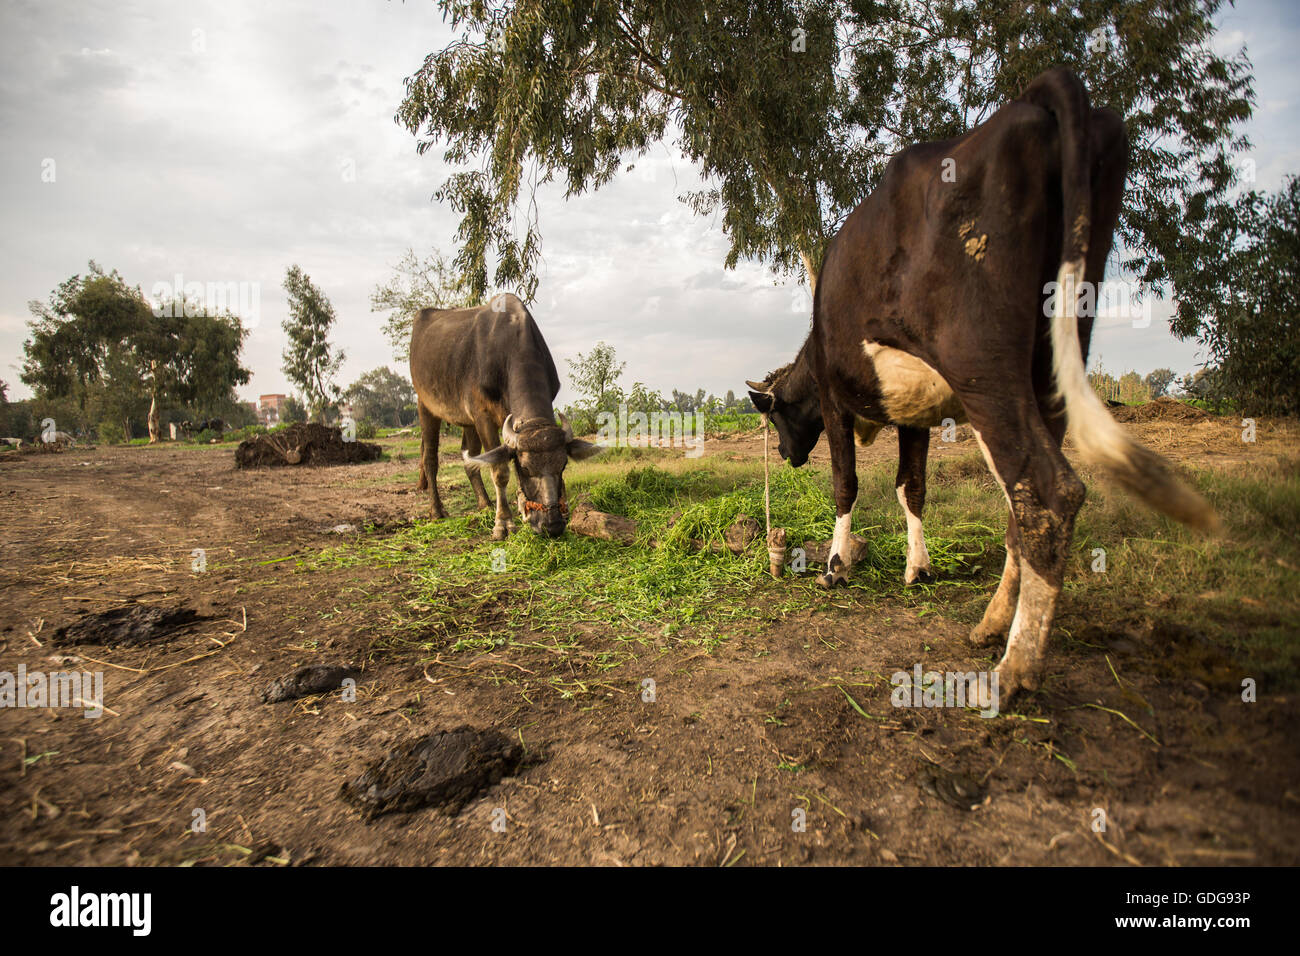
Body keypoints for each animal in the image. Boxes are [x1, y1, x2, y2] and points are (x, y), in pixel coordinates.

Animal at [409, 294, 601, 540]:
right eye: (526, 468)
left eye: (563, 465)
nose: (553, 526)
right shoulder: (483, 417)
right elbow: (499, 470)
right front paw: (503, 523)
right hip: (425, 405)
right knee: (430, 458)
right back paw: (437, 511)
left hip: (467, 422)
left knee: (469, 458)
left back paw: (484, 503)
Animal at [747, 67, 1217, 698]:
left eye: (775, 415)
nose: (784, 454)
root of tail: (1036, 95)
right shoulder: (913, 415)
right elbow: (911, 486)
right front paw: (918, 568)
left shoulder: (837, 400)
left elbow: (846, 484)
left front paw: (835, 567)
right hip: (1052, 360)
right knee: (1023, 502)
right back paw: (992, 625)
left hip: (982, 363)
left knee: (1048, 490)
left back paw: (1014, 668)